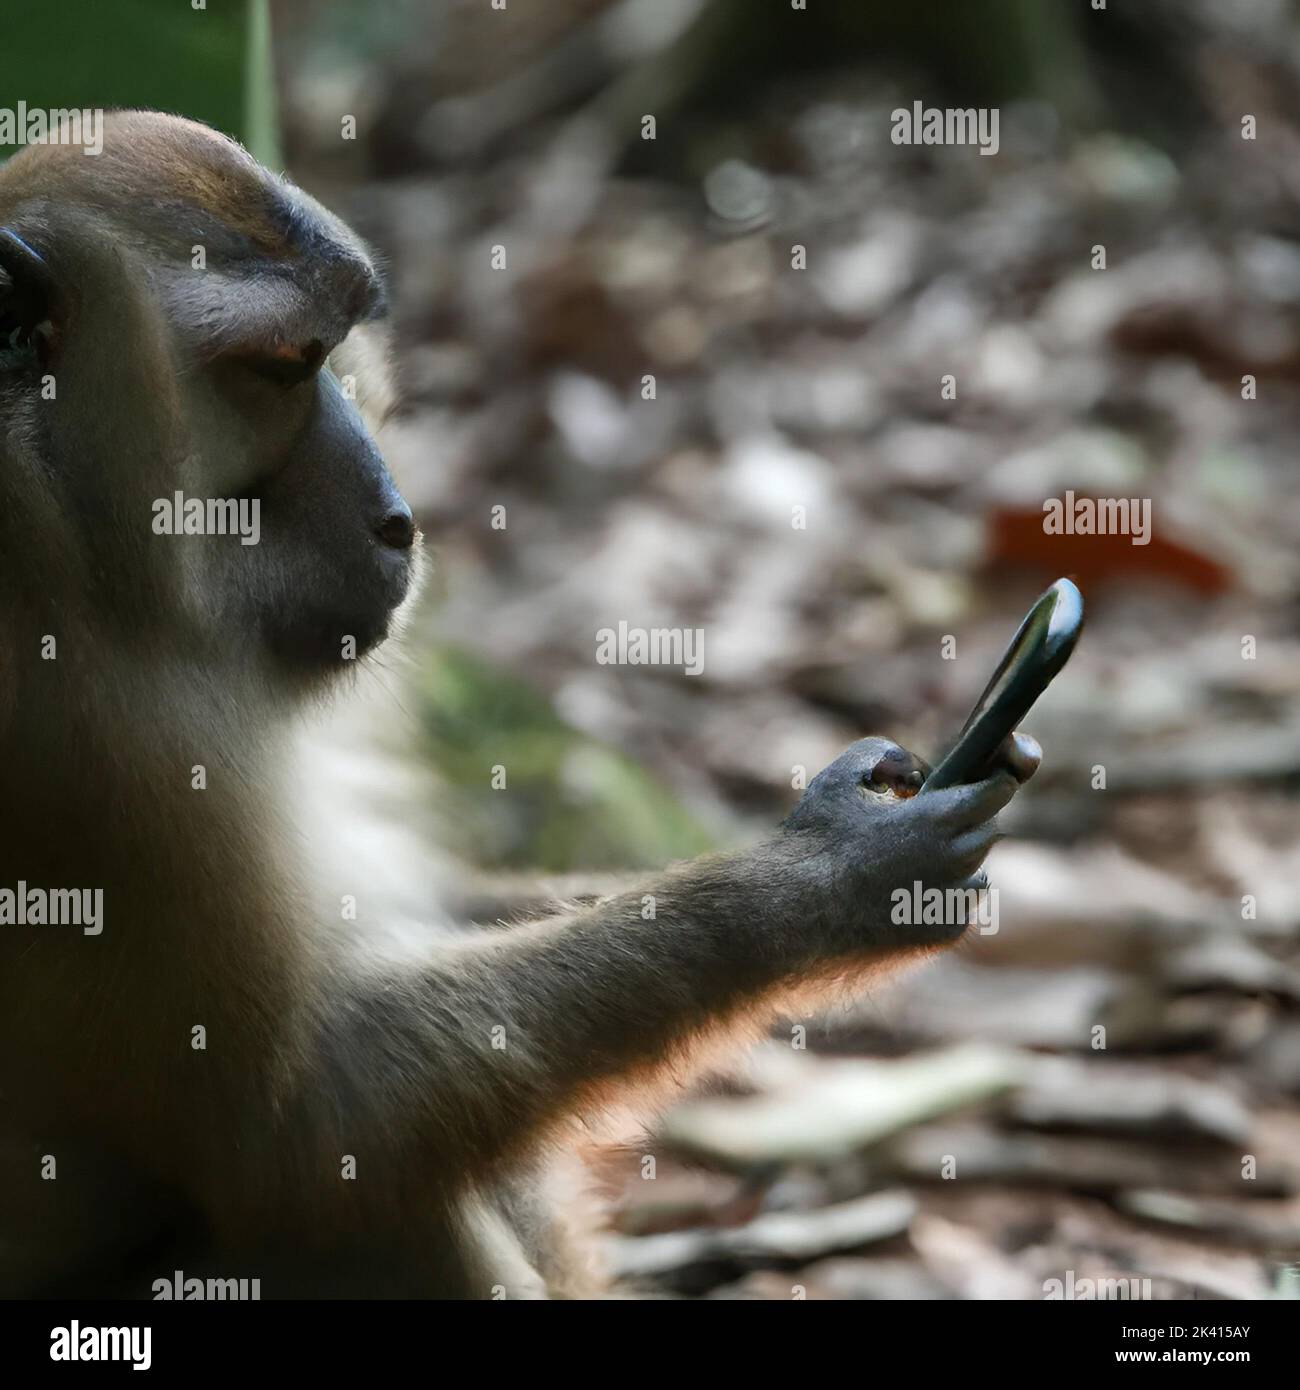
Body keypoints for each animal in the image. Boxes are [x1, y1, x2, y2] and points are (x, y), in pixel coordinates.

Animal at [0, 111, 1040, 1299]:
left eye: (336, 354)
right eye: (277, 368)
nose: (395, 517)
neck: (77, 548)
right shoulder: (100, 743)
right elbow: (299, 1138)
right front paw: (823, 880)